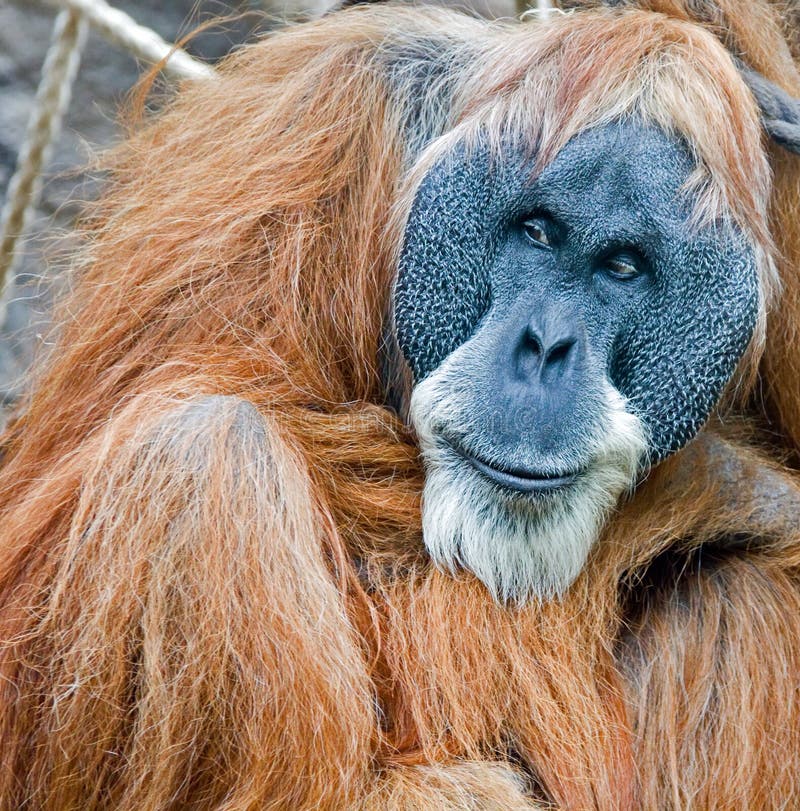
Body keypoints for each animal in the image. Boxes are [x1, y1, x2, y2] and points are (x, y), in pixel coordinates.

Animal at [0, 4, 799, 809]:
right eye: (538, 231)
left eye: (623, 266)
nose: (545, 346)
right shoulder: (307, 130)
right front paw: (724, 483)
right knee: (199, 450)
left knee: (735, 591)